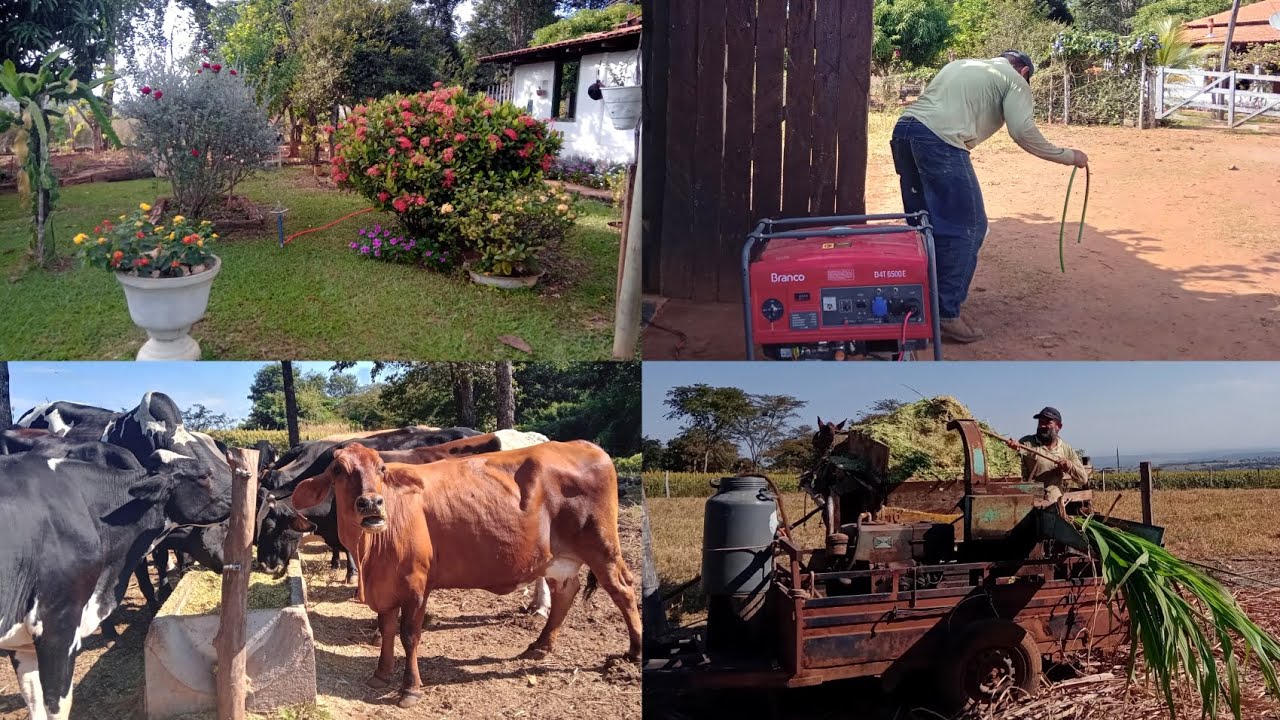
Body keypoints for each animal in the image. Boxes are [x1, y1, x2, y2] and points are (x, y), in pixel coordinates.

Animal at [0, 438, 233, 720]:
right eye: (203, 475)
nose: (235, 498)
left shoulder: (22, 641)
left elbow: (34, 702)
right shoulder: (56, 626)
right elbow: (56, 704)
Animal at [290, 441, 642, 708]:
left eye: (382, 470)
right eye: (338, 470)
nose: (371, 503)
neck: (369, 555)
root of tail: (586, 446)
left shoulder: (416, 586)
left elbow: (409, 635)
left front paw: (410, 689)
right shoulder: (385, 589)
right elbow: (387, 630)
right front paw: (380, 674)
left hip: (602, 547)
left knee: (623, 590)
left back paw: (634, 652)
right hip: (559, 558)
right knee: (564, 592)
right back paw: (540, 645)